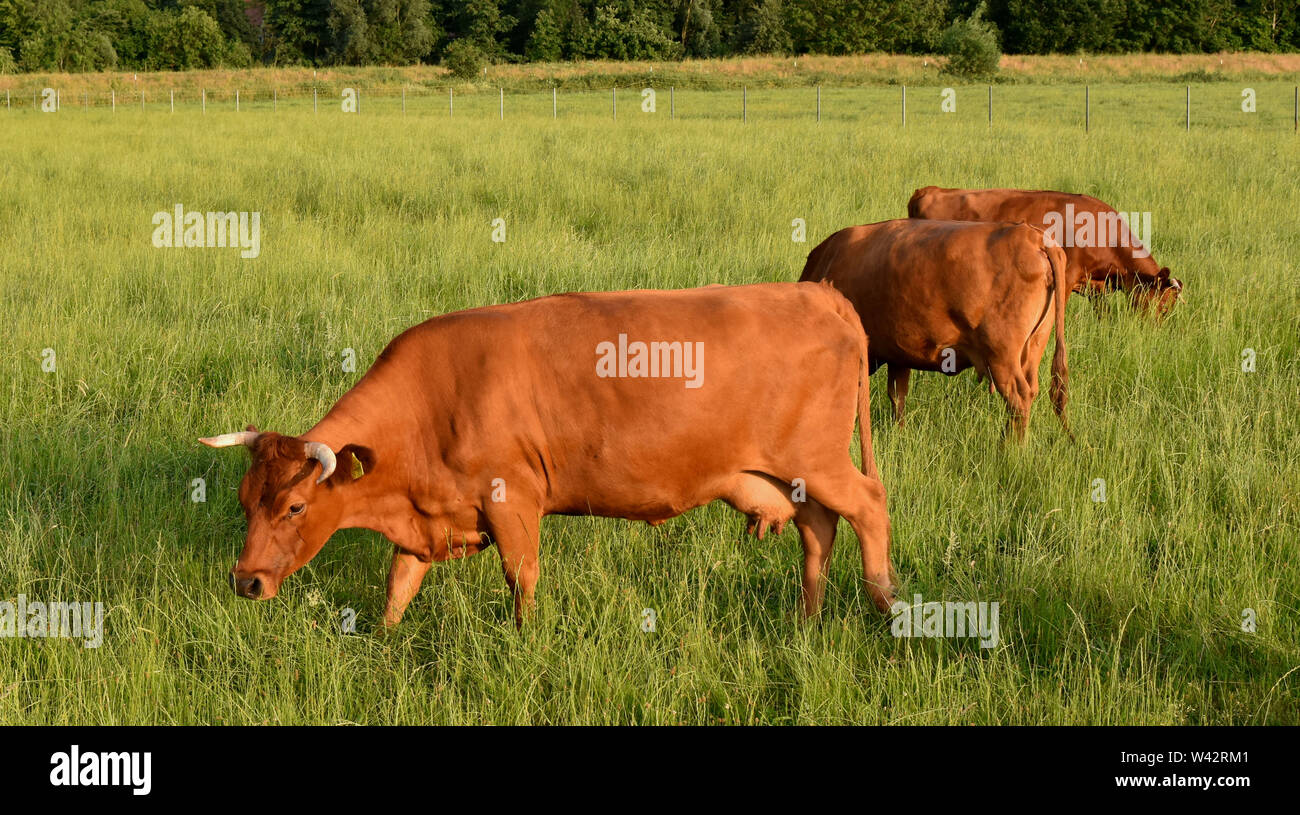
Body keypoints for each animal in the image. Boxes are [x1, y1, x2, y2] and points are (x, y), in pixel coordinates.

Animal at [200, 282, 895, 628]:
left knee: (869, 507)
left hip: (819, 462)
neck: (434, 401)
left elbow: (521, 578)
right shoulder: (424, 515)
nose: (245, 581)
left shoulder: (512, 501)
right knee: (818, 530)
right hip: (794, 476)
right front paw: (382, 644)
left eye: (294, 507)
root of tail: (819, 292)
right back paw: (806, 619)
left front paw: (526, 644)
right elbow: (399, 586)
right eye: (243, 502)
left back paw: (886, 607)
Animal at [799, 219, 1070, 440]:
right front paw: (899, 434)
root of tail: (1033, 236)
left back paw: (1010, 449)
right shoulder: (898, 354)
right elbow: (898, 395)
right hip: (1032, 350)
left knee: (1018, 398)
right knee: (1030, 392)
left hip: (1002, 356)